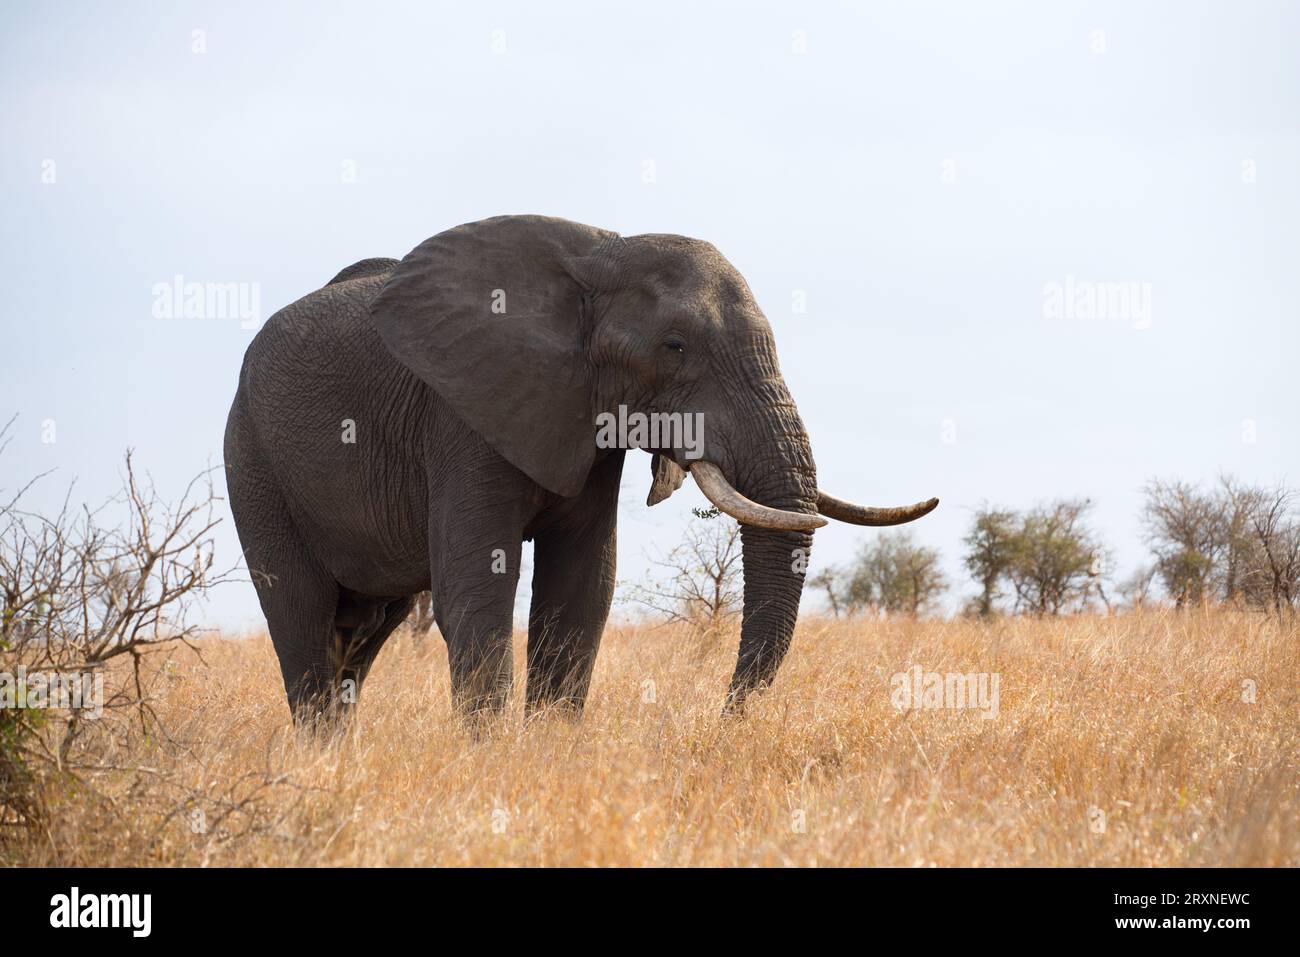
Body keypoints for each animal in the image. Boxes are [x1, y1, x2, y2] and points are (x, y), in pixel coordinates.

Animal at [224, 215, 937, 724]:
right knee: (303, 617)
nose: (725, 719)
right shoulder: (462, 416)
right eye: (675, 347)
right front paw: (491, 765)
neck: (599, 256)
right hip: (253, 461)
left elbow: (581, 592)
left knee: (363, 631)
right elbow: (476, 593)